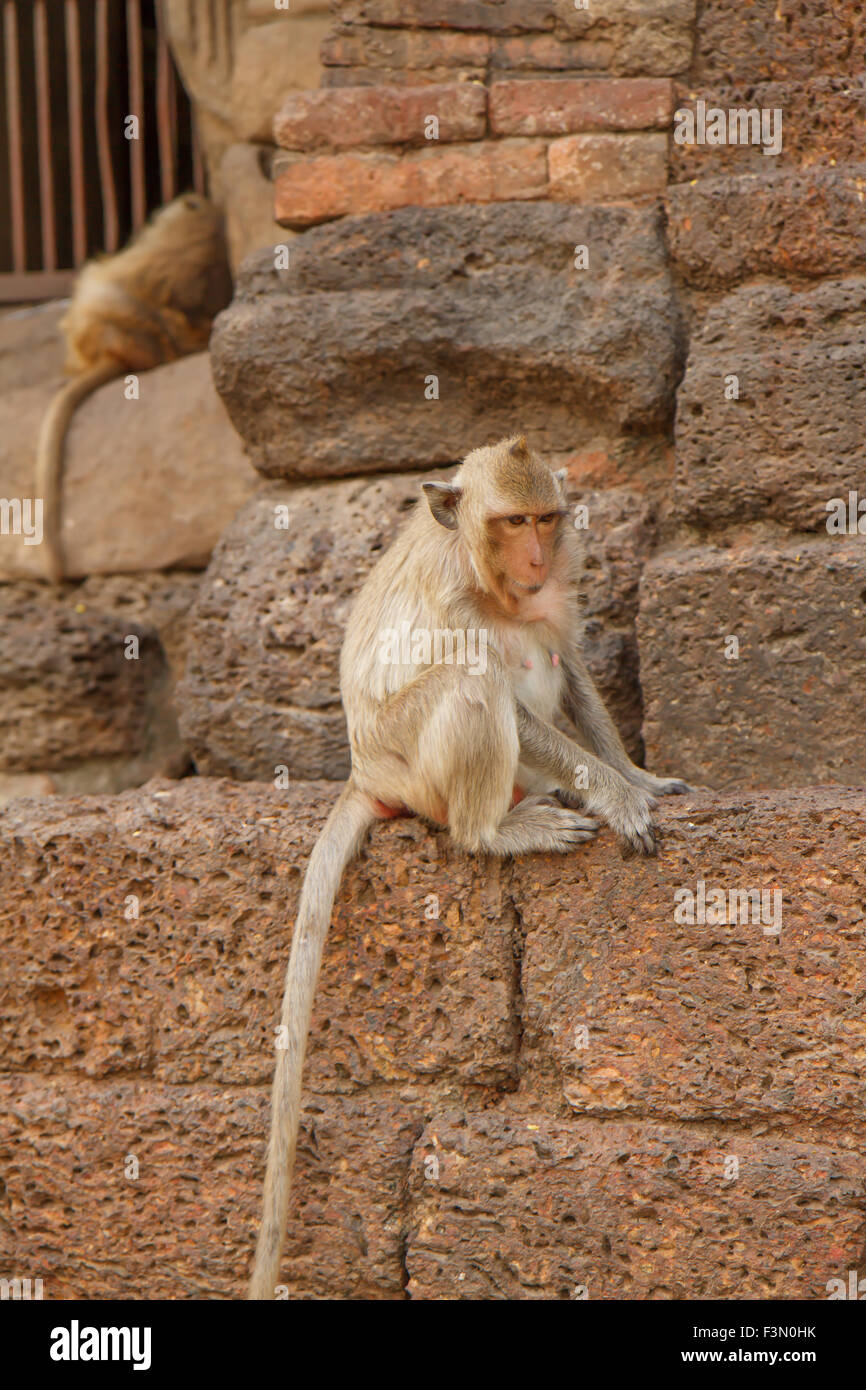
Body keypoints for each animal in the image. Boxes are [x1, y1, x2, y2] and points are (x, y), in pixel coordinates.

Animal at [248, 434, 690, 1299]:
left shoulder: (556, 590)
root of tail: (365, 774)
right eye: (510, 521)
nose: (534, 556)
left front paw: (635, 776)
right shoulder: (454, 599)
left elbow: (569, 658)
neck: (489, 577)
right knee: (473, 682)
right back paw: (497, 831)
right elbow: (496, 688)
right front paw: (618, 795)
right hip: (415, 764)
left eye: (545, 518)